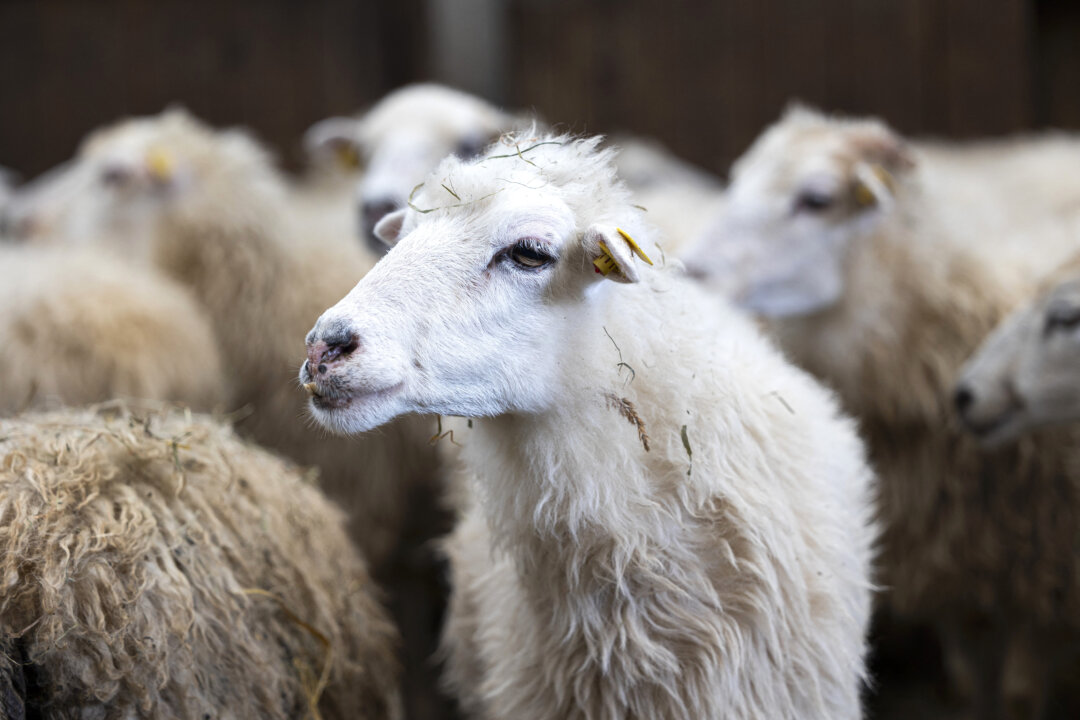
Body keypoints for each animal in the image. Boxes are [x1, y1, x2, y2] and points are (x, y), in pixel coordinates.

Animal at [683, 105, 1080, 718]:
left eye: (817, 199)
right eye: (738, 179)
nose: (691, 271)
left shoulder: (1041, 582)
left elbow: (1018, 696)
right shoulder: (951, 570)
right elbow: (971, 687)